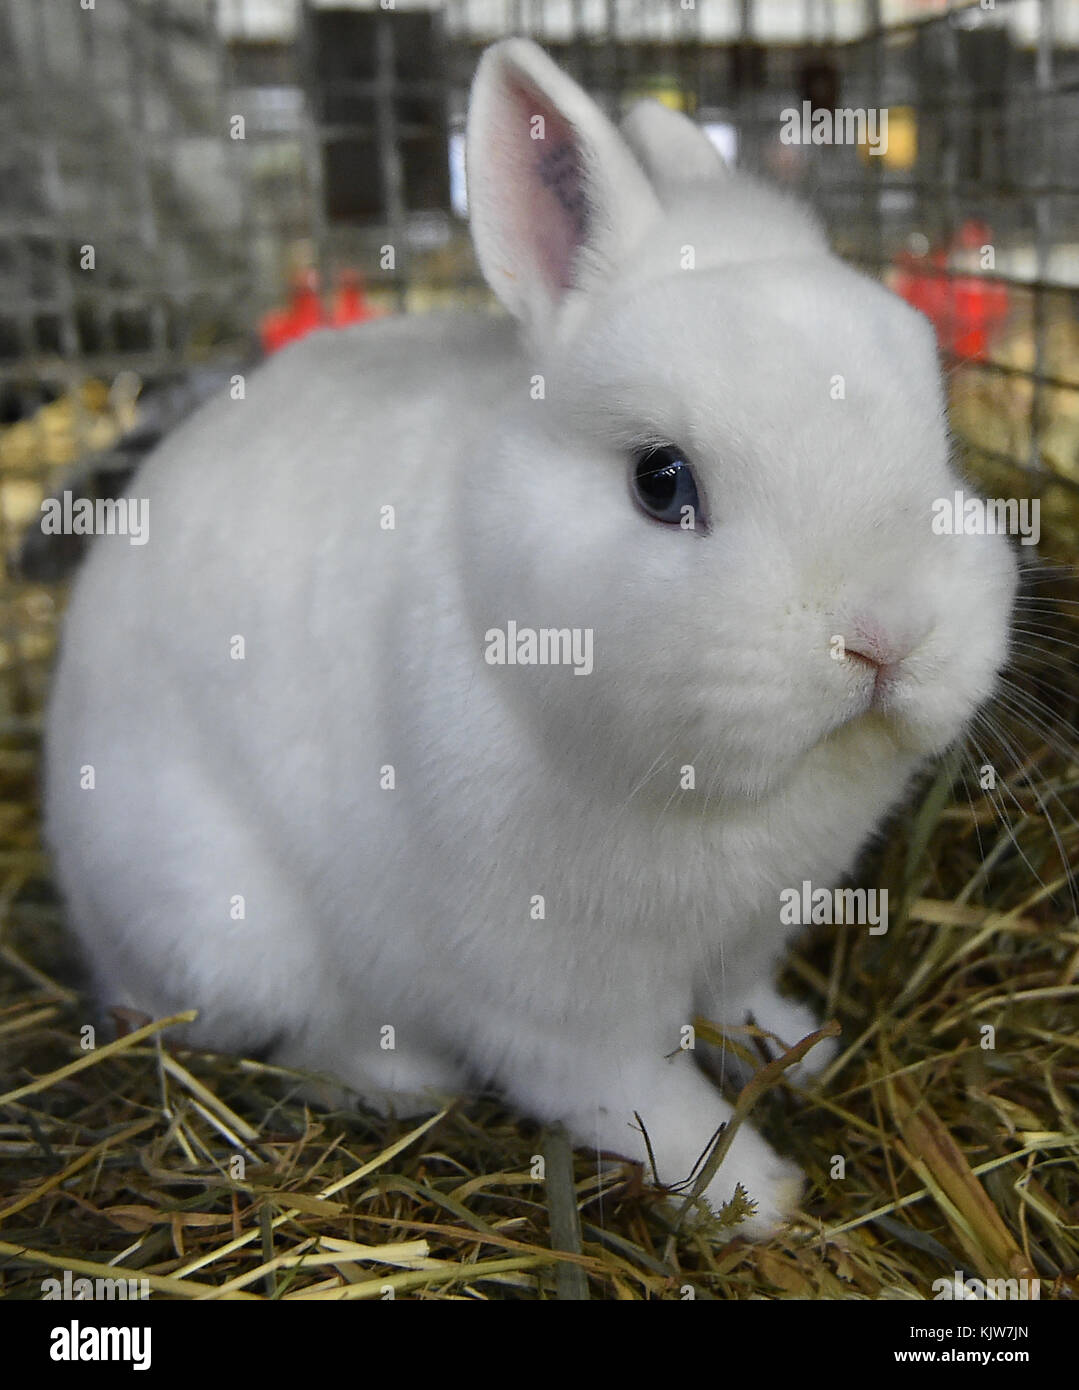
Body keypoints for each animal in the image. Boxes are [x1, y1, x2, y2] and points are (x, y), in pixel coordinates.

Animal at [43, 38, 1018, 1239]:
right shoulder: (551, 991)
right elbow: (629, 1093)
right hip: (236, 938)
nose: (885, 640)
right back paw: (400, 1080)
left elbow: (741, 1001)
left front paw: (804, 1049)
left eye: (939, 437)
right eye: (660, 482)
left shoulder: (744, 938)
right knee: (298, 1033)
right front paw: (749, 1193)